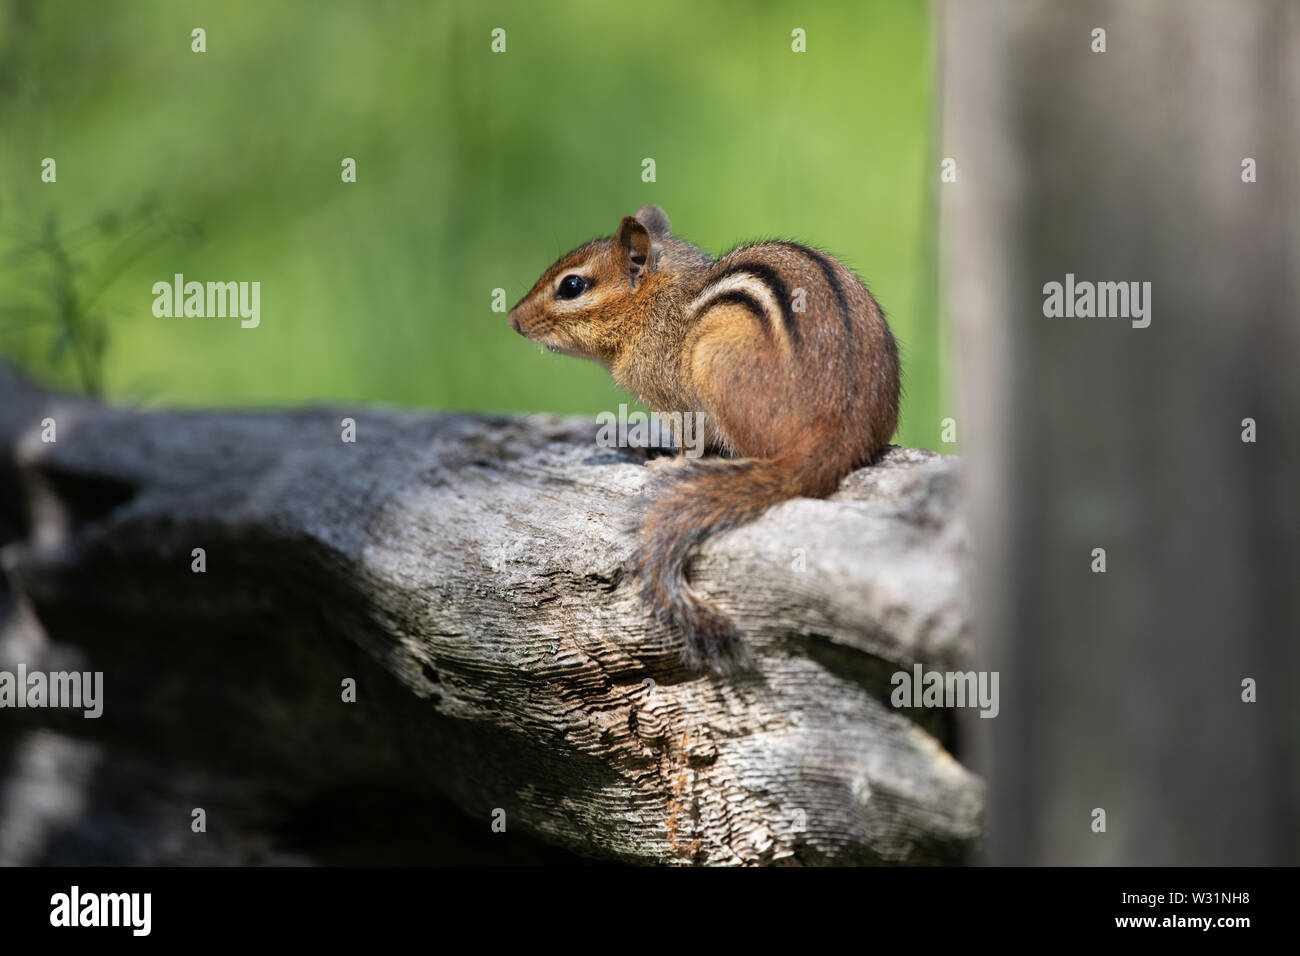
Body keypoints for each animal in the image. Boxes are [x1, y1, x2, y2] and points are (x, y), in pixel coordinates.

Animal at [508, 205, 900, 670]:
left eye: (571, 286)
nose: (512, 319)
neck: (656, 301)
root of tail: (836, 434)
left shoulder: (675, 400)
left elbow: (689, 440)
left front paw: (667, 461)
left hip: (714, 361)